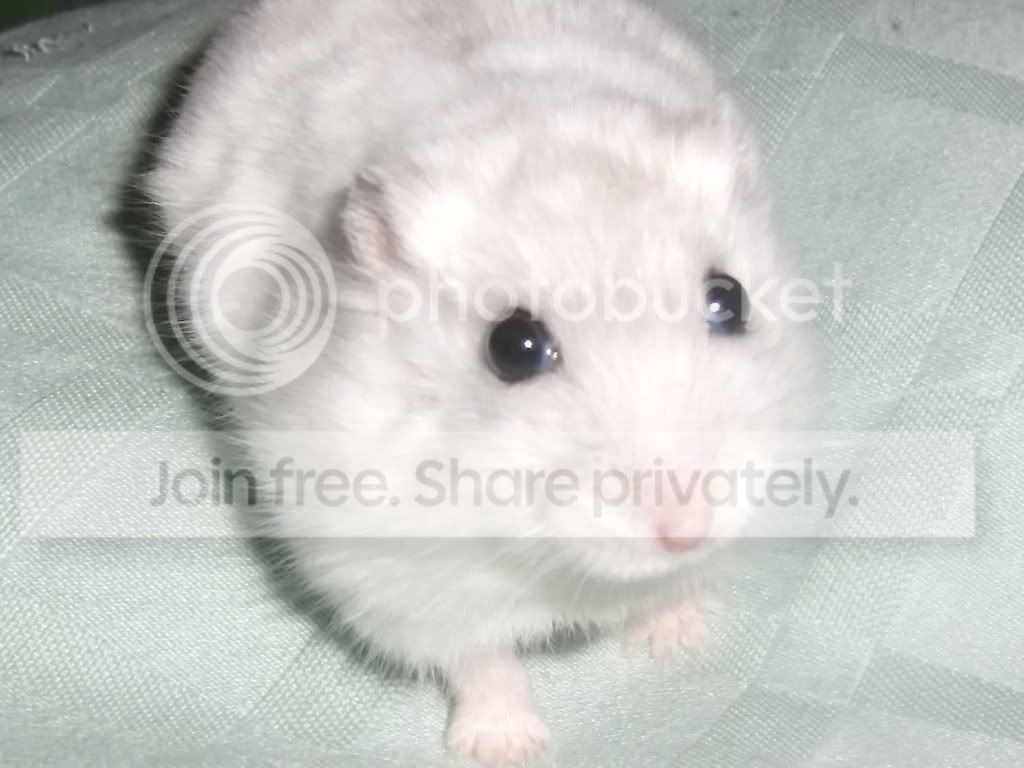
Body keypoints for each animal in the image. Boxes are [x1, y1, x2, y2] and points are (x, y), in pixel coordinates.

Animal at [147, 0, 816, 764]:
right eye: (513, 349)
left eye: (729, 300)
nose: (687, 531)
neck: (554, 559)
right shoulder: (403, 574)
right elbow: (484, 662)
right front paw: (506, 748)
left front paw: (675, 640)